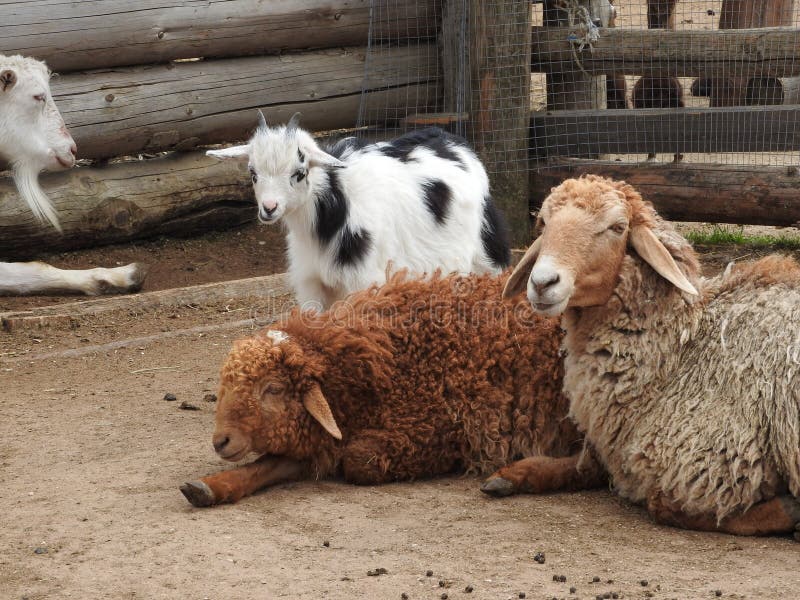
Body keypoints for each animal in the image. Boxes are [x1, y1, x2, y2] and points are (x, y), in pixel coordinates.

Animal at [179, 271, 596, 507]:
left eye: (273, 388)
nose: (222, 441)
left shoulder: (437, 430)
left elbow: (357, 462)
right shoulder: (323, 435)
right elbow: (273, 464)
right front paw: (211, 487)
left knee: (591, 465)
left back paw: (514, 476)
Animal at [206, 114, 511, 310]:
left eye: (299, 173)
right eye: (253, 172)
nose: (268, 208)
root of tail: (458, 145)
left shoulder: (364, 282)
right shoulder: (313, 284)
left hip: (485, 257)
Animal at [490, 174, 800, 540]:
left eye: (617, 227)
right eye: (543, 223)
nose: (542, 283)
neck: (683, 348)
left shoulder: (712, 462)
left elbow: (663, 505)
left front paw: (791, 510)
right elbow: (583, 464)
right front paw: (511, 475)